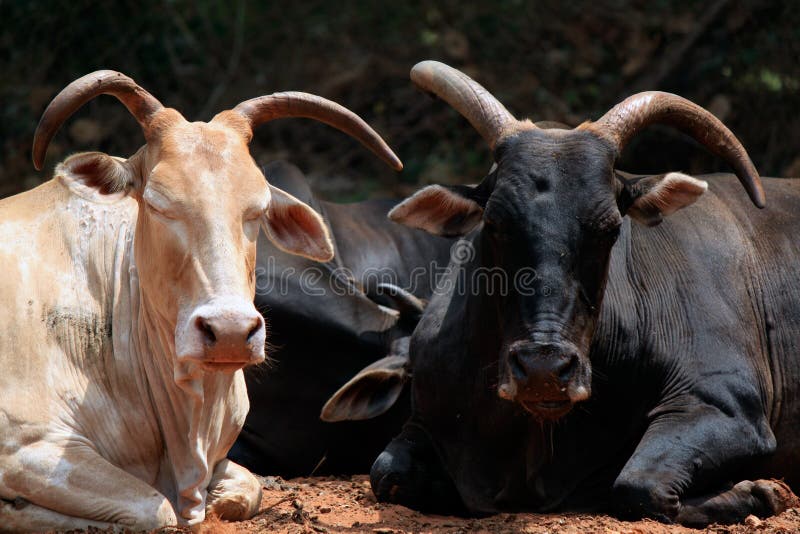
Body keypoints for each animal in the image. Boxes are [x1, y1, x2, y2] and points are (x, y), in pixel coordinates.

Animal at [0, 70, 401, 531]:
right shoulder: (28, 448)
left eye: (258, 209)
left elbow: (246, 490)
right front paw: (16, 509)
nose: (229, 332)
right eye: (157, 203)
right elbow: (157, 511)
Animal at [363, 61, 800, 526]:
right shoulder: (424, 420)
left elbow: (639, 485)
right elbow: (385, 472)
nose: (543, 369)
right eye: (494, 223)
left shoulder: (728, 405)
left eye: (610, 228)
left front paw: (762, 491)